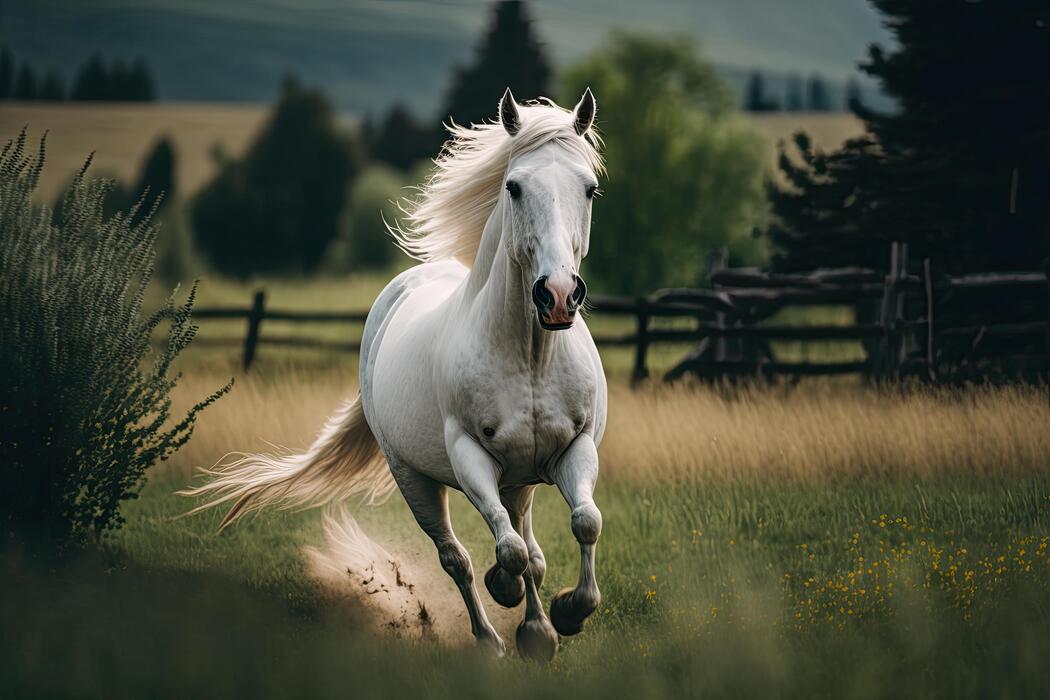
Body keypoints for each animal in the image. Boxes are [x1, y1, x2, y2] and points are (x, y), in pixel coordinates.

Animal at [185, 88, 607, 661]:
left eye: (589, 188)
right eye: (514, 187)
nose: (558, 295)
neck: (532, 353)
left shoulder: (575, 447)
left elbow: (584, 523)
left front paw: (567, 613)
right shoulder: (469, 456)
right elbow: (509, 554)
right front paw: (515, 594)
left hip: (521, 479)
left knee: (526, 542)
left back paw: (537, 630)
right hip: (415, 478)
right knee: (461, 558)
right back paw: (491, 638)